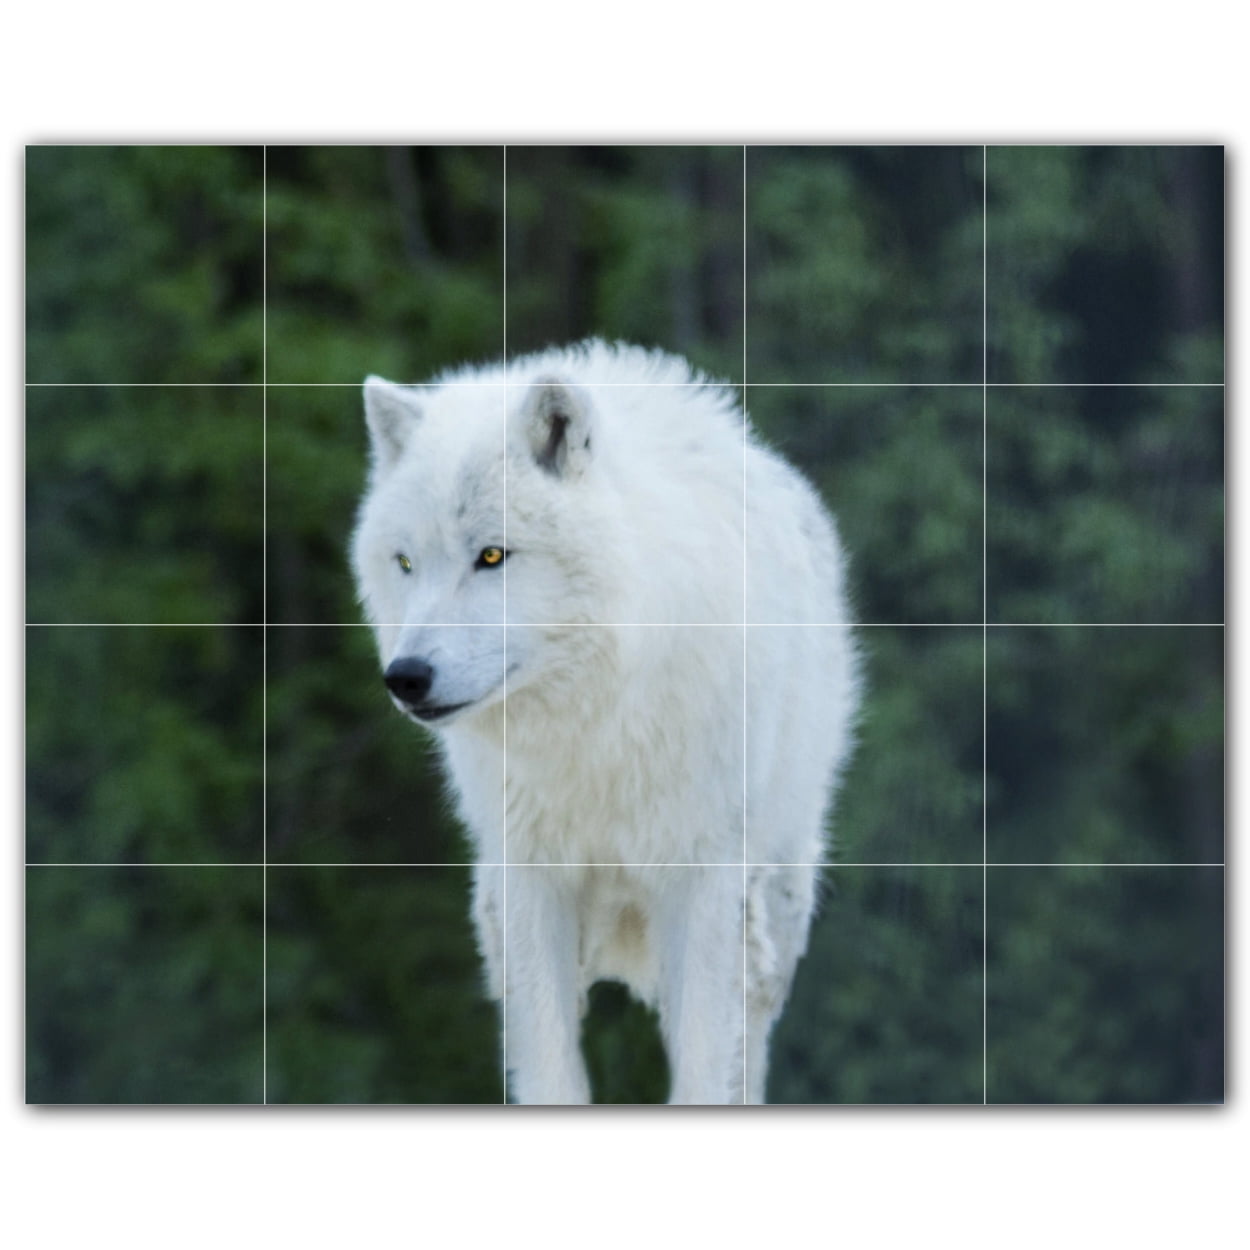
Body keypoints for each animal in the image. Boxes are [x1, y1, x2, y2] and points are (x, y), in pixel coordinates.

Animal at [352, 341, 859, 1104]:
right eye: (406, 562)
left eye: (492, 555)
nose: (406, 677)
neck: (591, 725)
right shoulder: (533, 879)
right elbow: (550, 1066)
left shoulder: (701, 876)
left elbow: (703, 1065)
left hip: (770, 908)